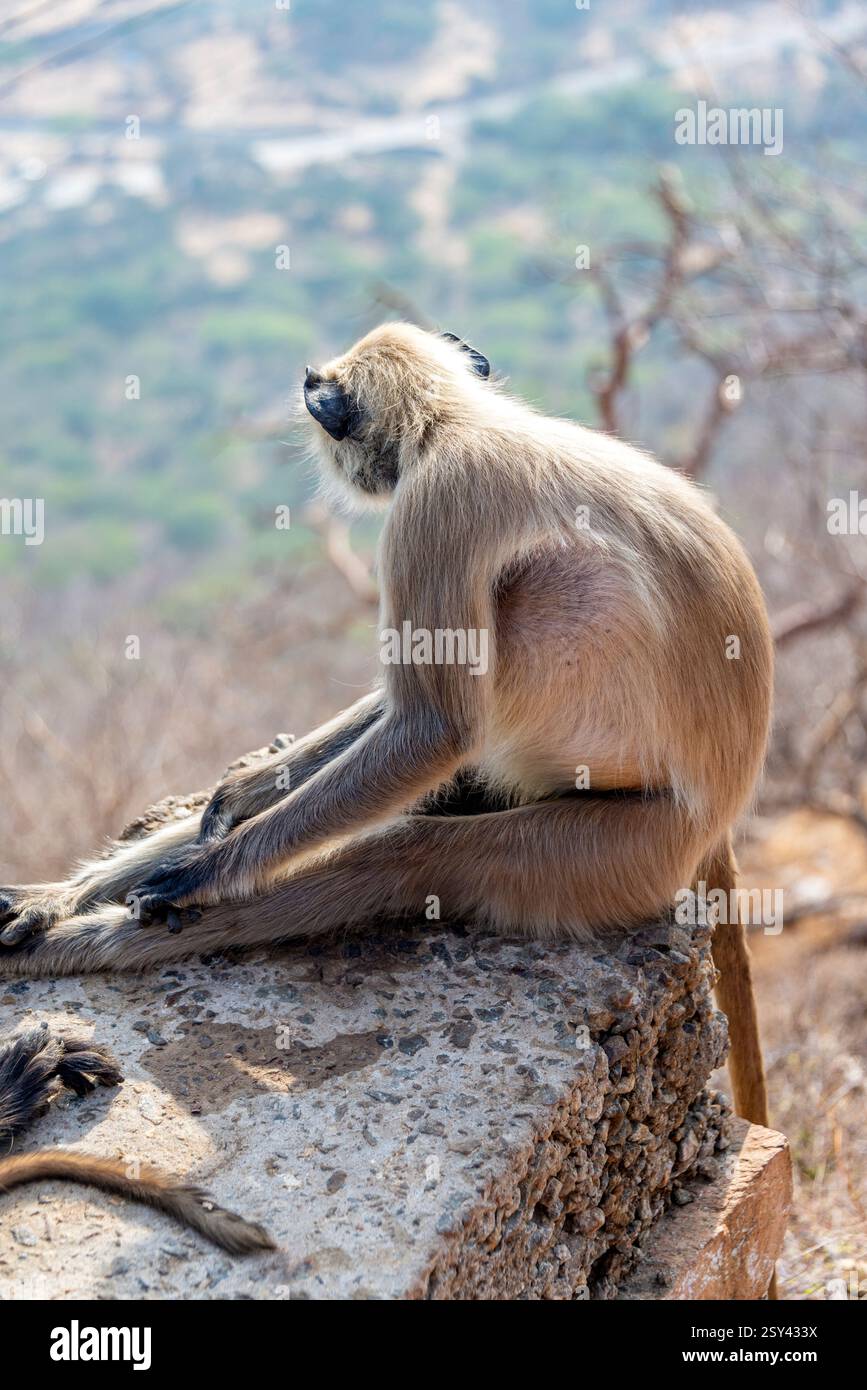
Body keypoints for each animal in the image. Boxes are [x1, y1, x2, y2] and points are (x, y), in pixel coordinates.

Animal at [0, 322, 773, 1139]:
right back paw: (51, 907)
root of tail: (718, 822)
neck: (460, 420)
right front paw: (236, 796)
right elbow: (392, 724)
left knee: (407, 851)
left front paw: (204, 873)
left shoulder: (433, 509)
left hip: (623, 851)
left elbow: (432, 725)